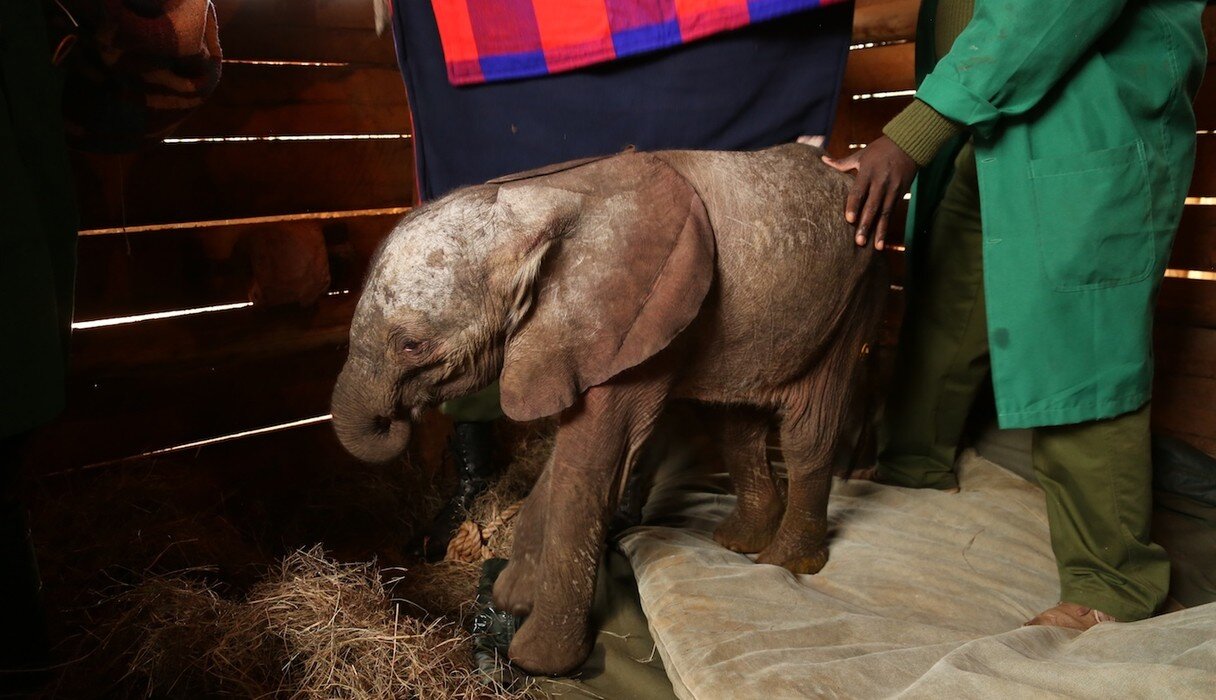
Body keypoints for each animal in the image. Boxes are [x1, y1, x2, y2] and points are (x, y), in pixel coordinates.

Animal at [330, 143, 886, 675]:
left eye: (413, 346)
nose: (397, 419)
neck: (535, 204)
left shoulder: (635, 319)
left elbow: (591, 460)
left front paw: (535, 658)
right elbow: (568, 458)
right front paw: (511, 596)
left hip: (851, 295)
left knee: (807, 430)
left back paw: (786, 563)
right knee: (737, 424)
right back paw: (737, 542)